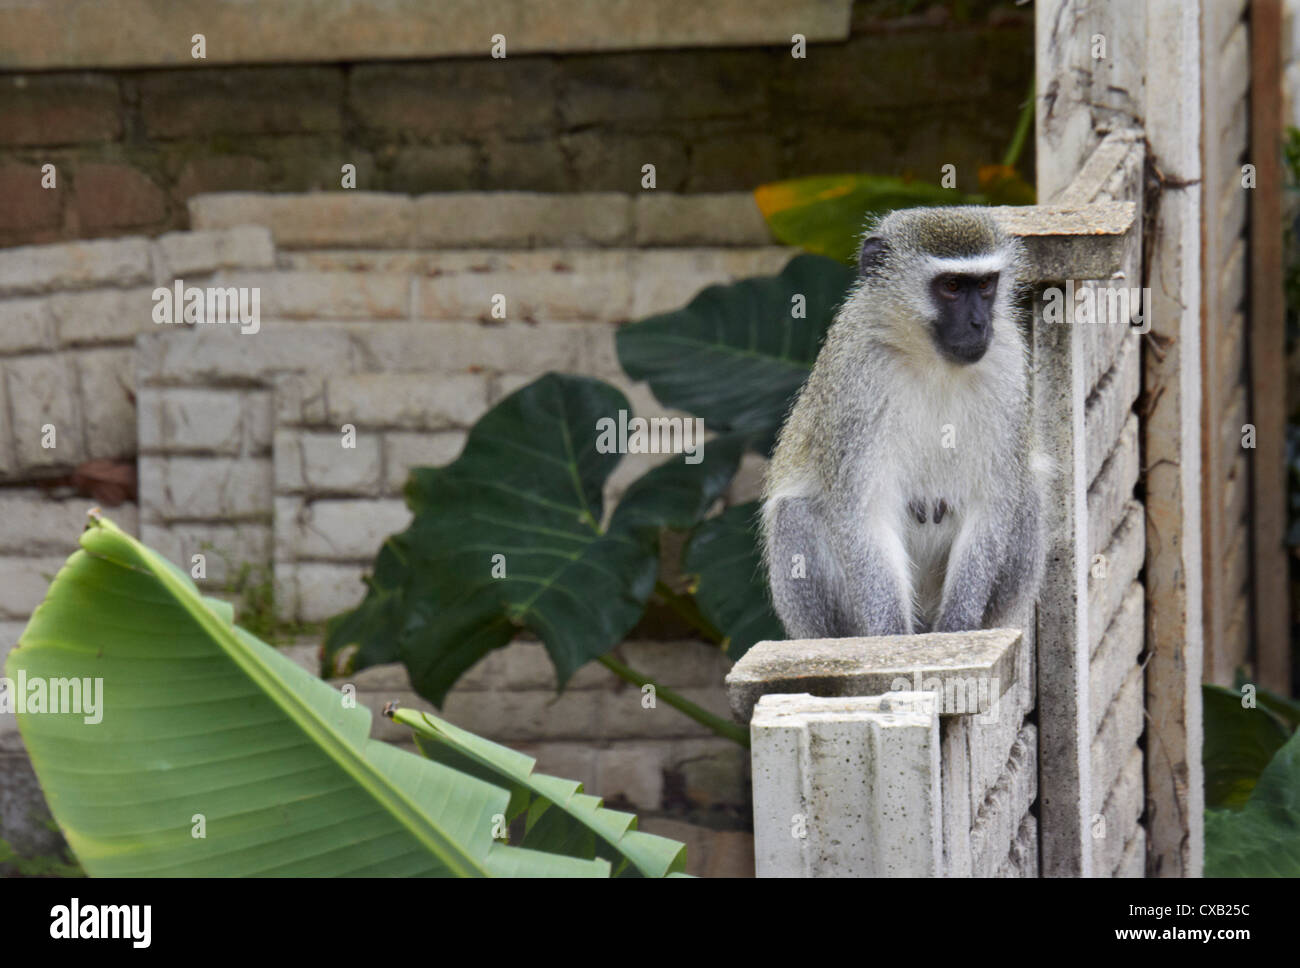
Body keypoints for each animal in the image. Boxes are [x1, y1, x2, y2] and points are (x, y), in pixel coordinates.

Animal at [761, 206, 1048, 639]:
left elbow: (992, 503)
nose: (980, 324)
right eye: (951, 286)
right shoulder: (857, 375)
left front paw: (959, 628)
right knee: (795, 512)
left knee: (1026, 493)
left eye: (984, 285)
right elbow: (866, 513)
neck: (932, 362)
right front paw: (890, 636)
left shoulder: (1008, 361)